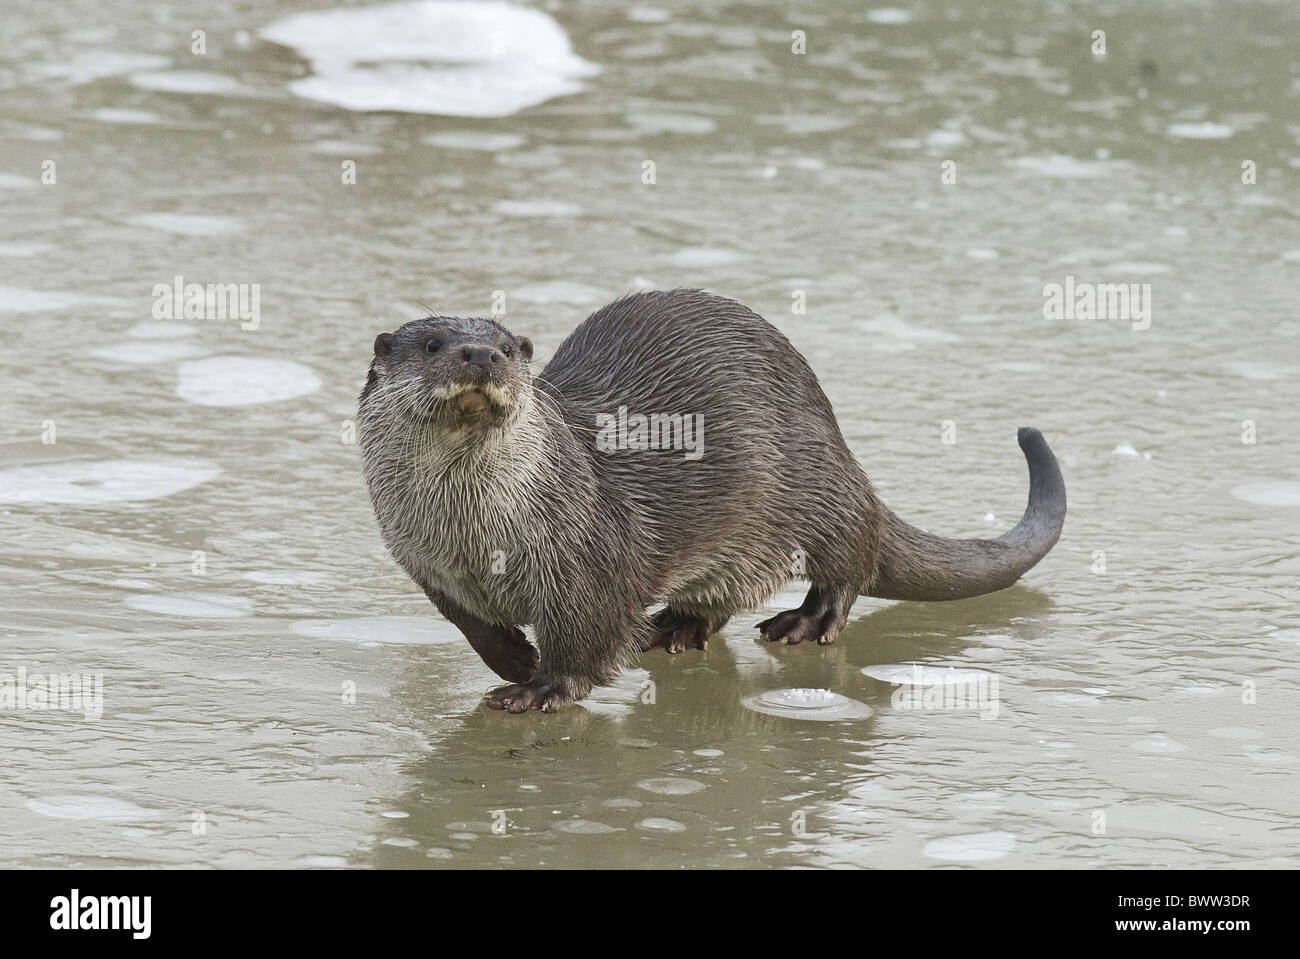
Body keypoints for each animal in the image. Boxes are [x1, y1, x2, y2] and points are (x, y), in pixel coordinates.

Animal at [358, 289, 1066, 713]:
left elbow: (587, 634)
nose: (479, 354)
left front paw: (542, 688)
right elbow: (472, 626)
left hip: (819, 485)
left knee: (850, 560)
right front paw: (514, 660)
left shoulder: (588, 557)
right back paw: (675, 628)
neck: (476, 536)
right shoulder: (423, 562)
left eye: (508, 348)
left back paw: (803, 622)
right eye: (431, 345)